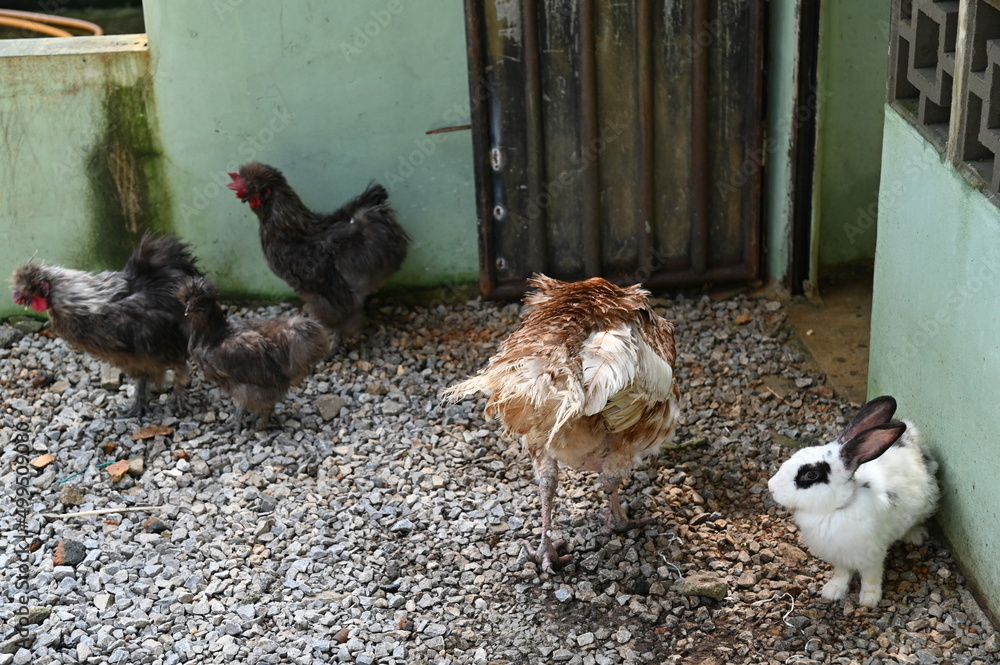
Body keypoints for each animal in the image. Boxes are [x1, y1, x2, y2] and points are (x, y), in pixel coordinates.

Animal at [767, 395, 940, 607]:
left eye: (811, 474)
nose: (771, 486)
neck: (838, 508)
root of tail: (911, 437)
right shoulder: (839, 557)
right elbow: (842, 574)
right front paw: (832, 591)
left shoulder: (872, 556)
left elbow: (871, 577)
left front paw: (869, 600)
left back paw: (915, 536)